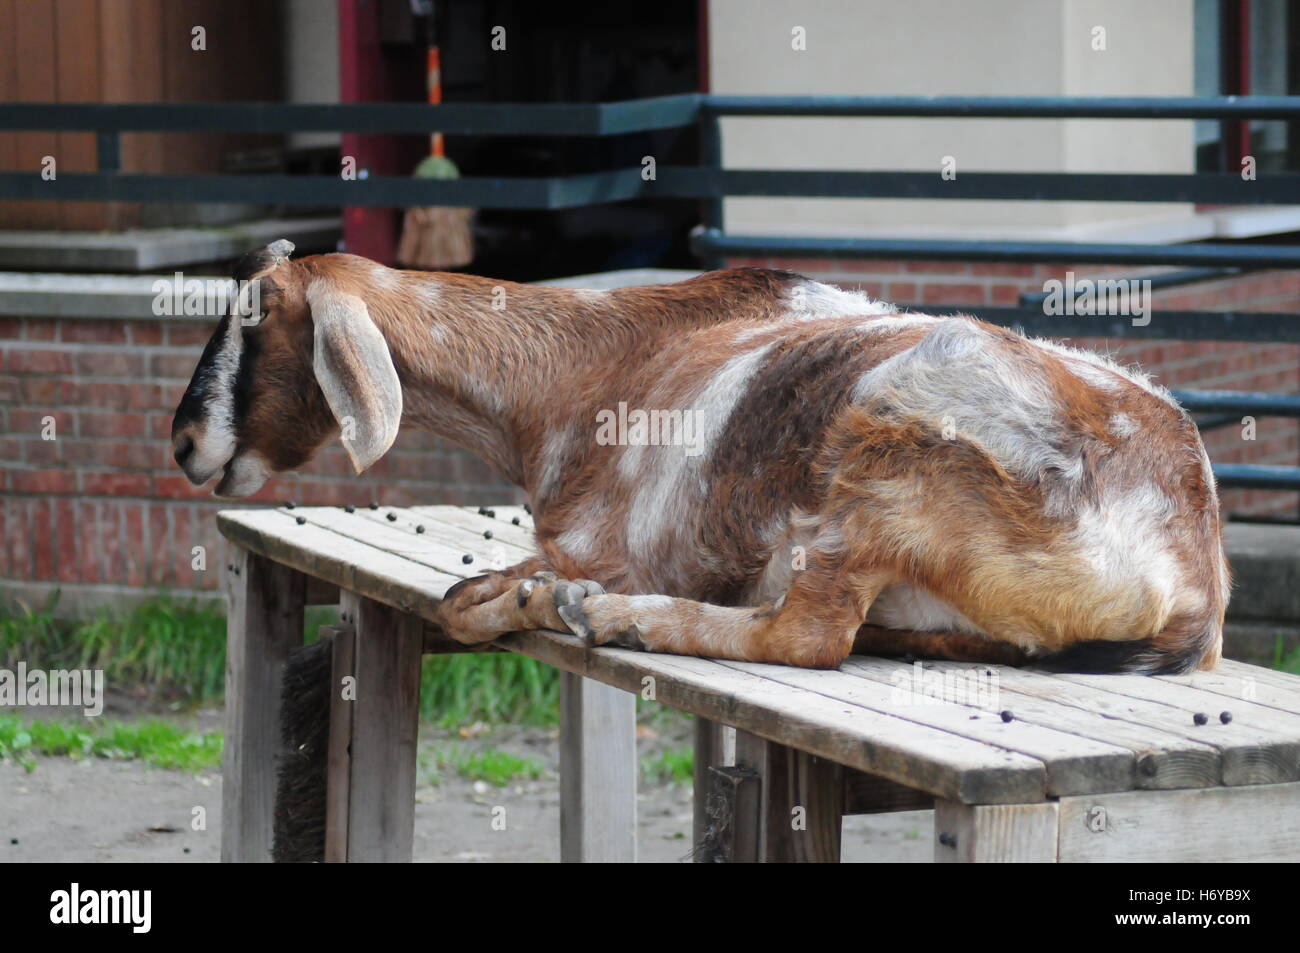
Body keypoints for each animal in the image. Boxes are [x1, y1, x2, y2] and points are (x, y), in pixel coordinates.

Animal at [171, 240, 1230, 673]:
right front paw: (528, 598)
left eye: (255, 317)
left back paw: (617, 620)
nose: (184, 441)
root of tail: (1194, 571)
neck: (589, 367)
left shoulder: (610, 543)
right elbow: (462, 597)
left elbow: (469, 602)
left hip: (887, 465)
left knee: (806, 634)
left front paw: (546, 602)